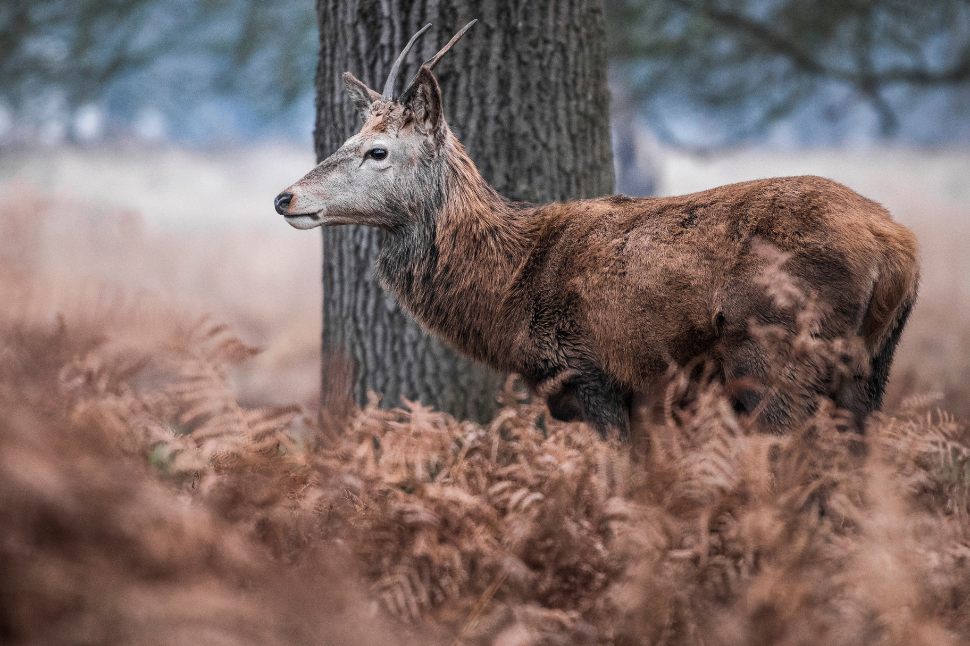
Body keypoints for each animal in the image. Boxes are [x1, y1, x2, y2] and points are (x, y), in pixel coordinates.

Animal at [275, 21, 920, 440]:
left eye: (377, 151)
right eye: (348, 139)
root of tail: (899, 250)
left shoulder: (601, 377)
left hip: (776, 363)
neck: (508, 291)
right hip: (872, 369)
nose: (285, 197)